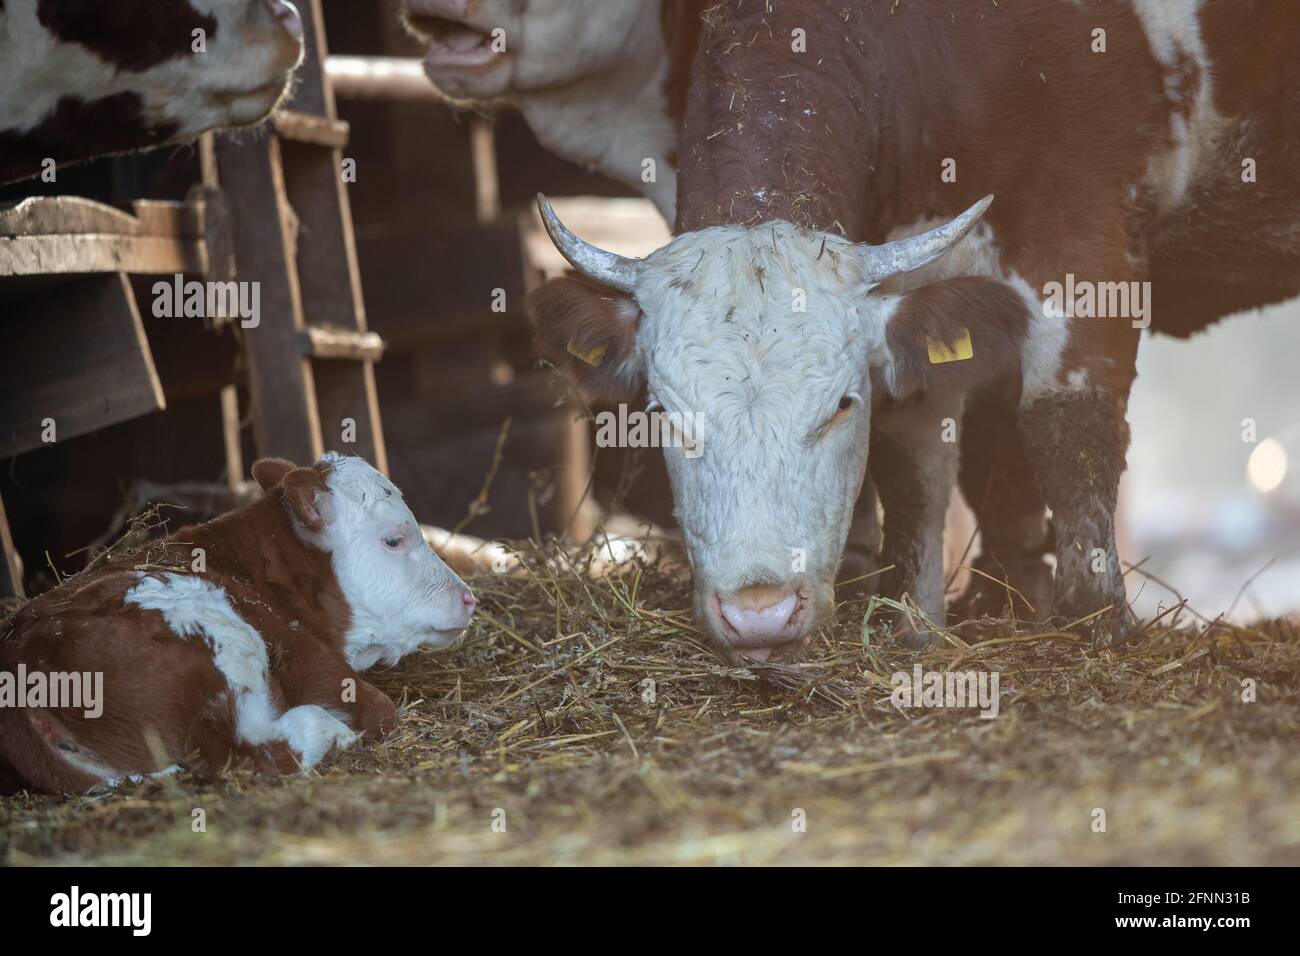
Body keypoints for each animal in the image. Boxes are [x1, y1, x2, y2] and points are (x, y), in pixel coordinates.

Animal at [0, 453, 477, 795]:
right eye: (393, 539)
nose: (469, 599)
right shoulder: (307, 659)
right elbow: (381, 711)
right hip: (215, 636)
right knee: (245, 754)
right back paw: (327, 731)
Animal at [526, 0, 1300, 663]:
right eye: (663, 414)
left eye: (842, 405)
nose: (759, 613)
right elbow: (916, 457)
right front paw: (914, 620)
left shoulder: (1082, 234)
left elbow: (1068, 426)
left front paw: (1096, 619)